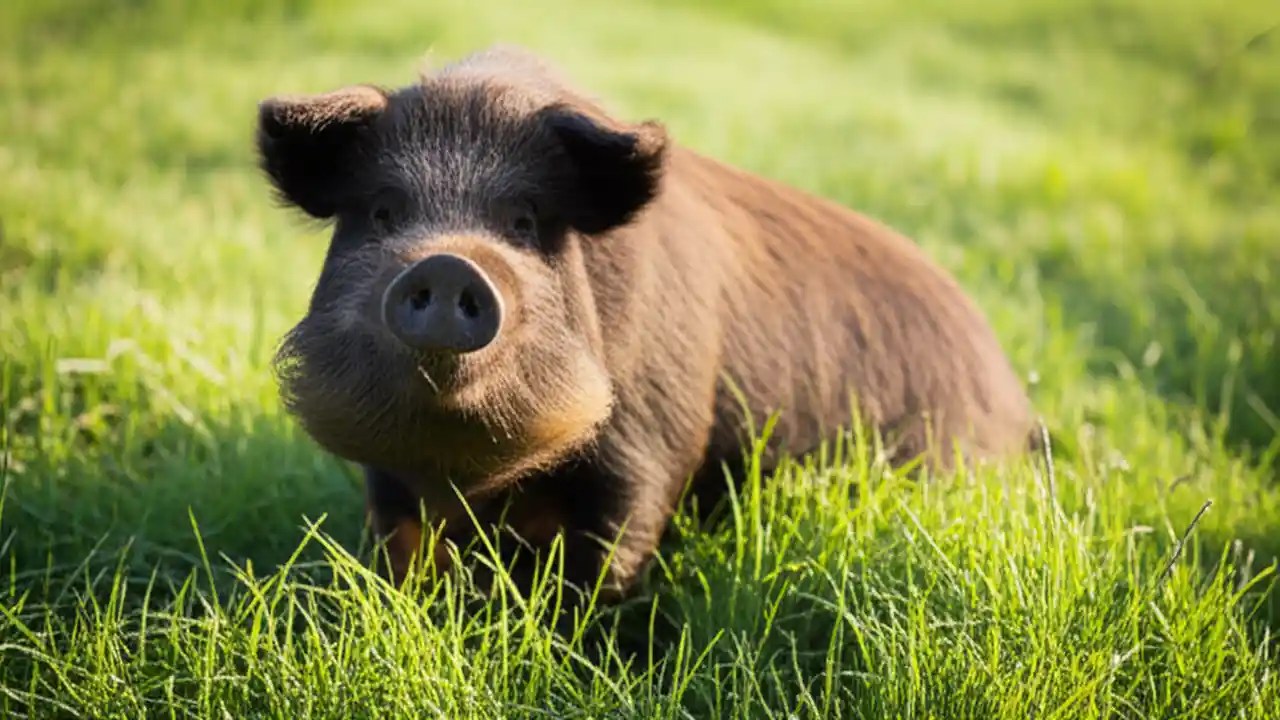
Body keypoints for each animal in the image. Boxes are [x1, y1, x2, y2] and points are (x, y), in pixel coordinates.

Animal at [256, 45, 1035, 603]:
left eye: (526, 221)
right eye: (384, 212)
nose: (448, 265)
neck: (477, 481)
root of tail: (1015, 397)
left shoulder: (649, 439)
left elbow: (607, 564)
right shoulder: (386, 469)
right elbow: (403, 547)